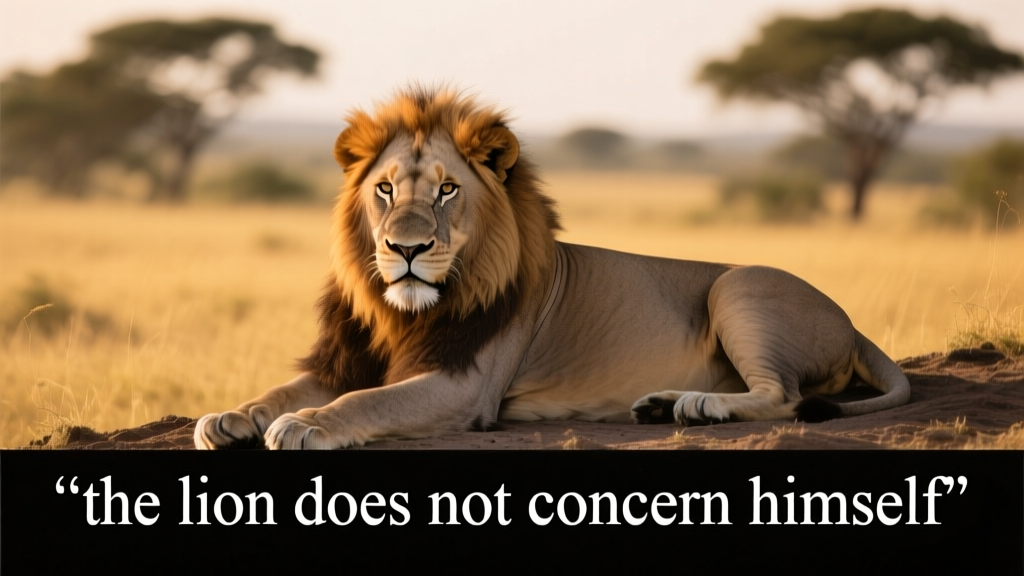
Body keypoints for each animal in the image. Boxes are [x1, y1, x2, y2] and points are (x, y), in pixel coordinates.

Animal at [194, 87, 910, 450]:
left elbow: (366, 400)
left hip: (739, 285)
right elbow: (283, 390)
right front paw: (231, 416)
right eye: (385, 190)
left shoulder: (466, 386)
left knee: (783, 396)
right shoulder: (349, 356)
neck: (402, 313)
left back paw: (699, 406)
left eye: (447, 191)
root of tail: (849, 320)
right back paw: (660, 405)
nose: (405, 249)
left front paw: (308, 426)